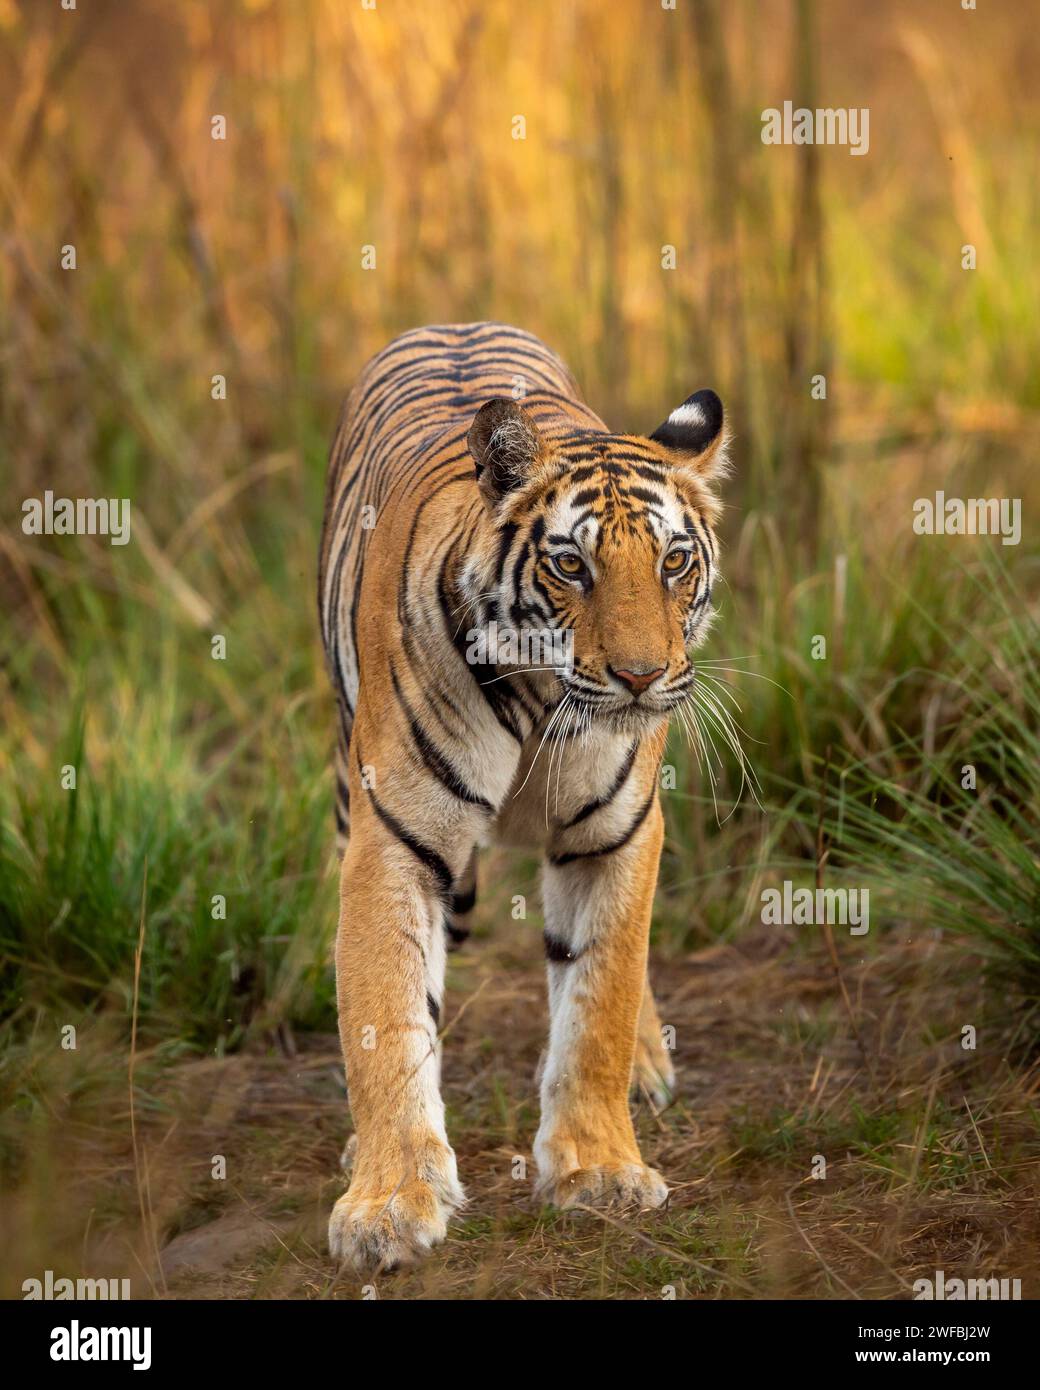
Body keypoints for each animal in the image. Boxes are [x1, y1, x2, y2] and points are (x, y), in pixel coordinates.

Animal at [318, 322, 729, 1271]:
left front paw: (601, 1170)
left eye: (673, 561)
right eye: (571, 565)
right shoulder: (395, 839)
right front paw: (387, 1205)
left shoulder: (616, 833)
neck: (545, 697)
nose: (641, 677)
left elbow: (600, 1002)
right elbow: (386, 1014)